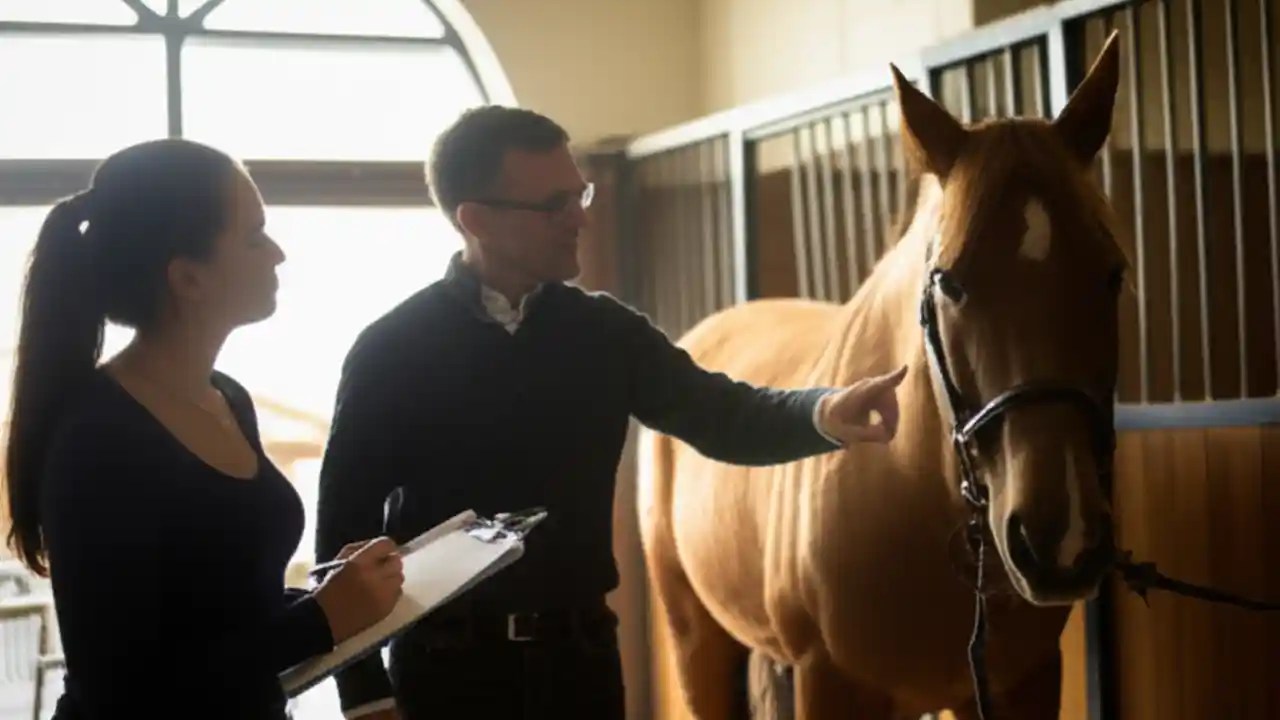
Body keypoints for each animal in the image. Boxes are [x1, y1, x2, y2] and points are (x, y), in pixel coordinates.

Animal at [637, 32, 1127, 719]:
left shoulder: (1018, 682)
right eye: (949, 281)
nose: (1061, 538)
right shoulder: (828, 682)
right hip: (696, 641)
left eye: (1112, 273)